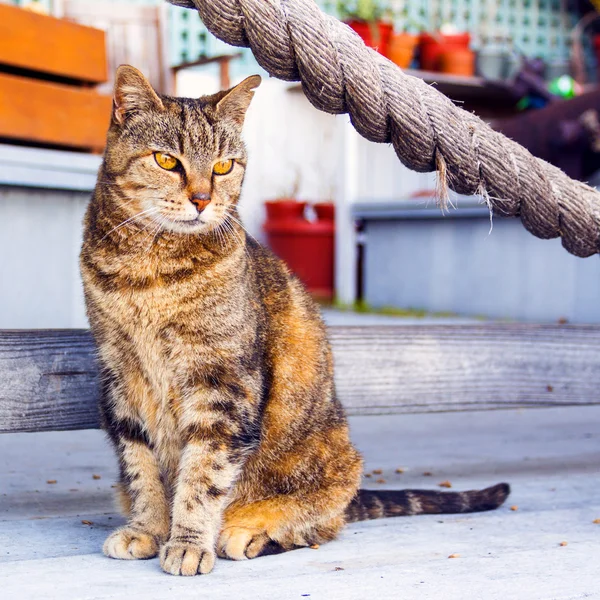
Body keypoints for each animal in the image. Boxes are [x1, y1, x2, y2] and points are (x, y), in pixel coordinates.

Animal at [79, 65, 508, 576]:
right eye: (167, 160)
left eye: (223, 167)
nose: (202, 199)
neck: (148, 274)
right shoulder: (120, 378)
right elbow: (140, 468)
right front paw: (147, 528)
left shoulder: (223, 385)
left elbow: (202, 474)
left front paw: (187, 542)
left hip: (335, 472)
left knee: (318, 525)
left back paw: (248, 535)